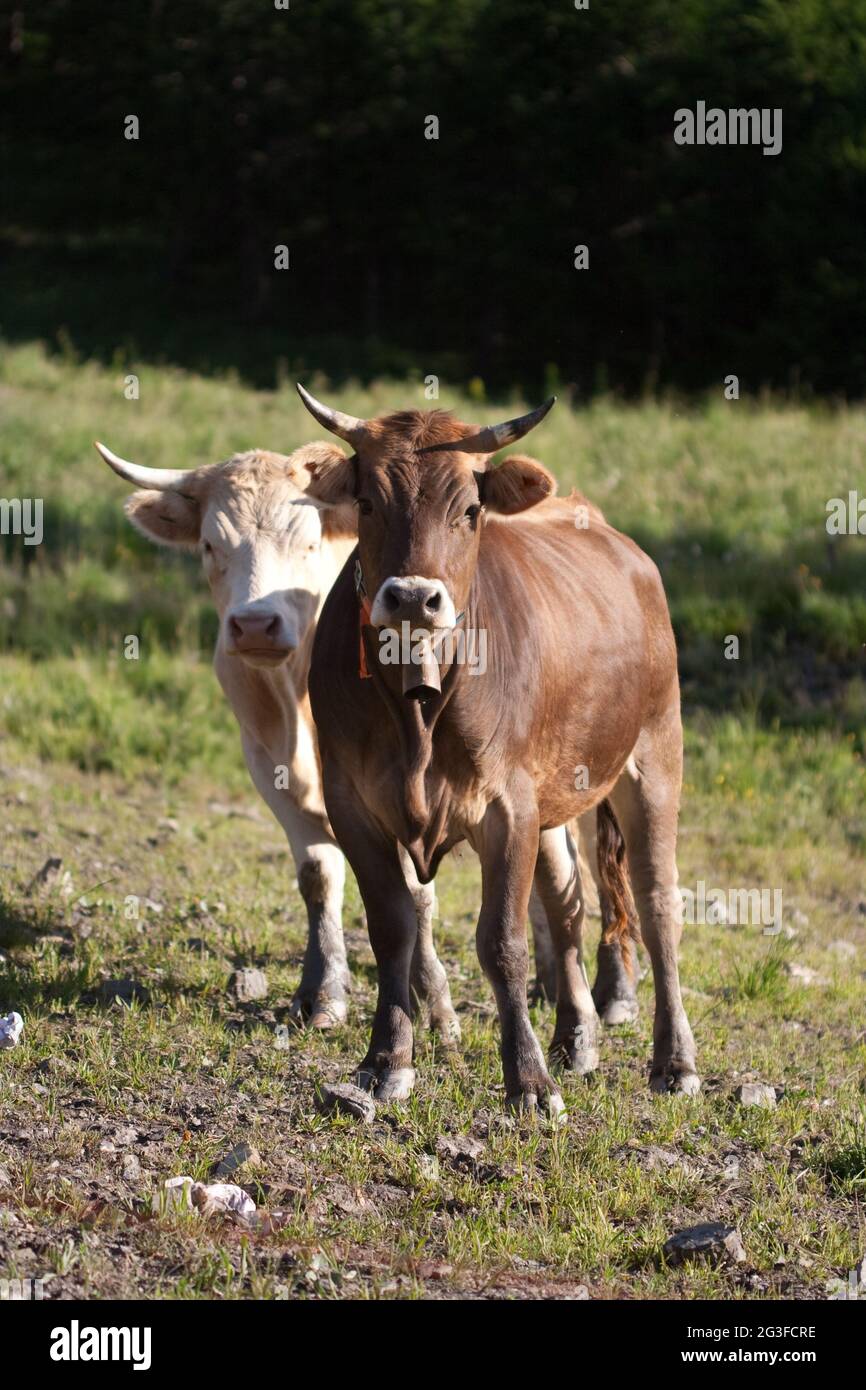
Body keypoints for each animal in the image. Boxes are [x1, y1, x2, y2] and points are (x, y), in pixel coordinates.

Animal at [93, 439, 461, 1039]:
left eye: (308, 542)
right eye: (209, 544)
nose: (255, 625)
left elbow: (419, 892)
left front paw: (436, 1006)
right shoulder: (267, 764)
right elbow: (318, 876)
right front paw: (323, 992)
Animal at [296, 386, 699, 1113]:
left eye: (469, 509)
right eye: (367, 502)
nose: (412, 597)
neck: (419, 706)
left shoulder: (505, 808)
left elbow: (503, 941)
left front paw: (529, 1083)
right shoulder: (353, 804)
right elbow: (393, 926)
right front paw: (386, 1061)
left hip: (654, 757)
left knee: (658, 903)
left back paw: (674, 1061)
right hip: (554, 794)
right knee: (566, 904)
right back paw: (576, 1038)